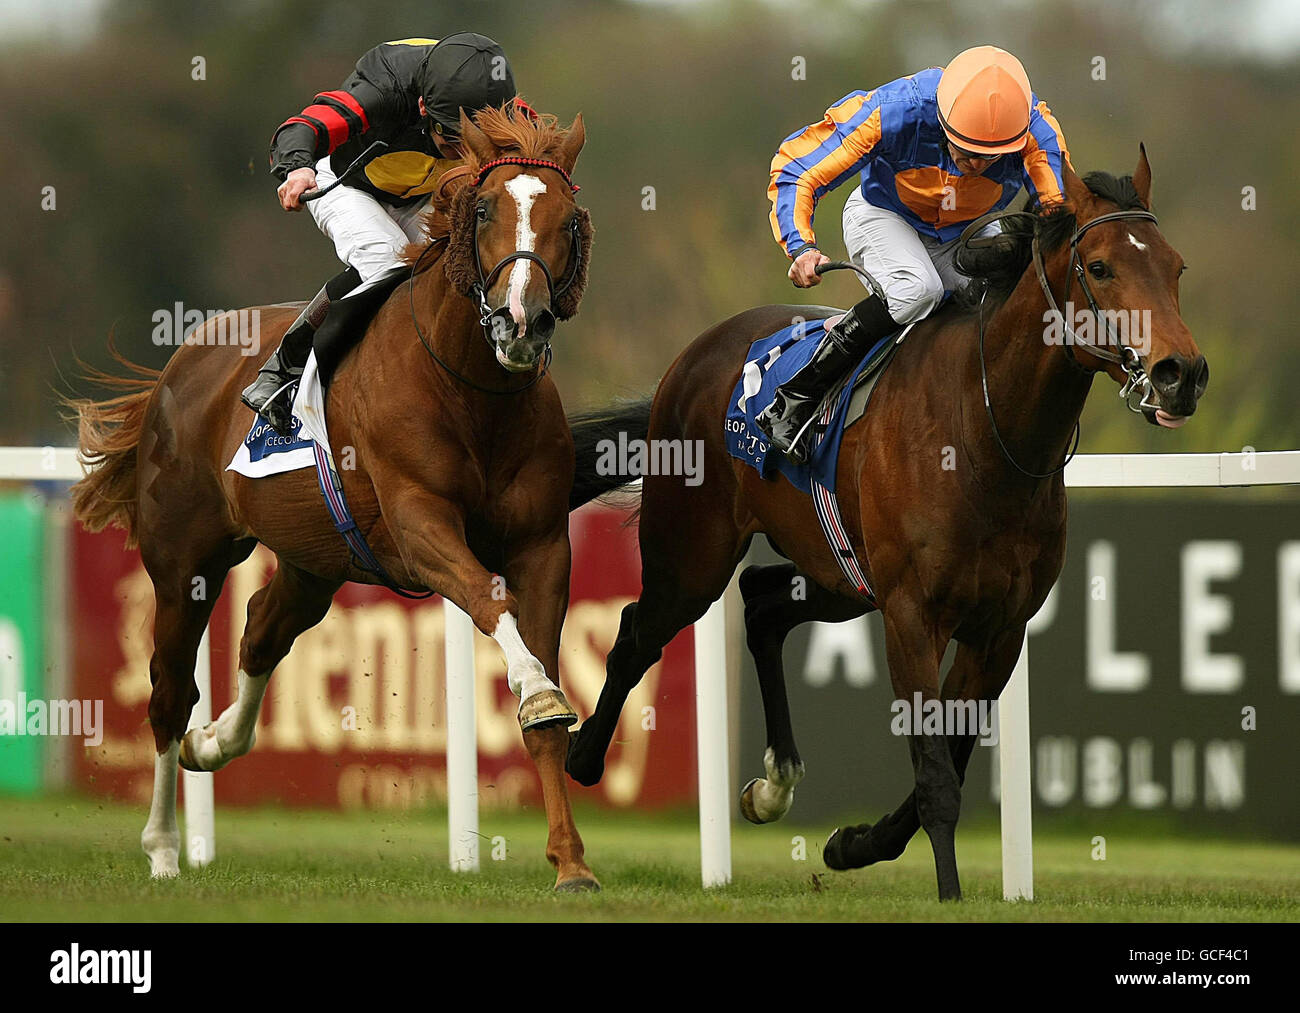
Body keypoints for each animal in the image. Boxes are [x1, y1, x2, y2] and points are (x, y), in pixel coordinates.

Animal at [64, 104, 602, 891]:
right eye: (483, 212)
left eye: (567, 219)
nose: (521, 322)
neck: (472, 389)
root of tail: (180, 363)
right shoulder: (420, 526)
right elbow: (493, 607)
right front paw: (535, 691)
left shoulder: (542, 545)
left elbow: (545, 710)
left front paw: (570, 861)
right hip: (183, 562)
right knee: (167, 690)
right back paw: (163, 846)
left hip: (313, 557)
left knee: (261, 630)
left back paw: (212, 742)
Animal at [564, 150, 1206, 900]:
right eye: (1100, 267)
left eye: (1177, 268)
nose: (1180, 373)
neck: (985, 431)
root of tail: (693, 357)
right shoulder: (911, 615)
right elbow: (936, 774)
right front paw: (949, 892)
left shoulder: (999, 627)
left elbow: (953, 752)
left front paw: (855, 842)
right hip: (693, 554)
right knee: (638, 629)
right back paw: (581, 755)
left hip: (841, 570)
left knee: (763, 603)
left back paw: (774, 783)